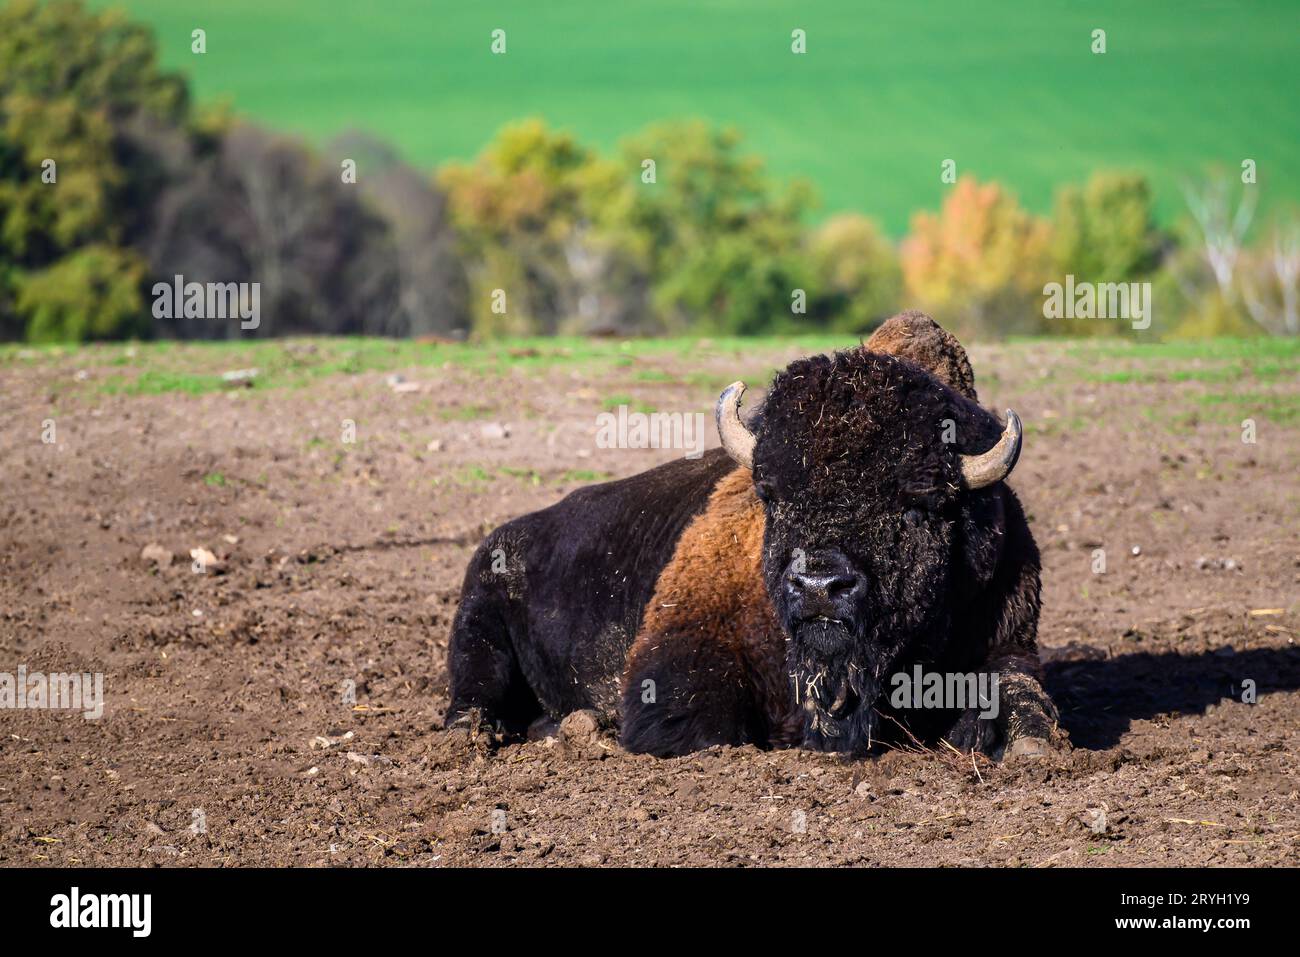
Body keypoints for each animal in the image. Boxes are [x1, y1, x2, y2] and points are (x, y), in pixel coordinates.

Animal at [446, 312, 1064, 758]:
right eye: (772, 495)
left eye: (917, 507)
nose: (819, 586)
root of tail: (505, 538)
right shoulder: (678, 657)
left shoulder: (1009, 639)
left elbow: (1018, 690)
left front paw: (1030, 746)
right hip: (477, 623)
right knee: (472, 696)